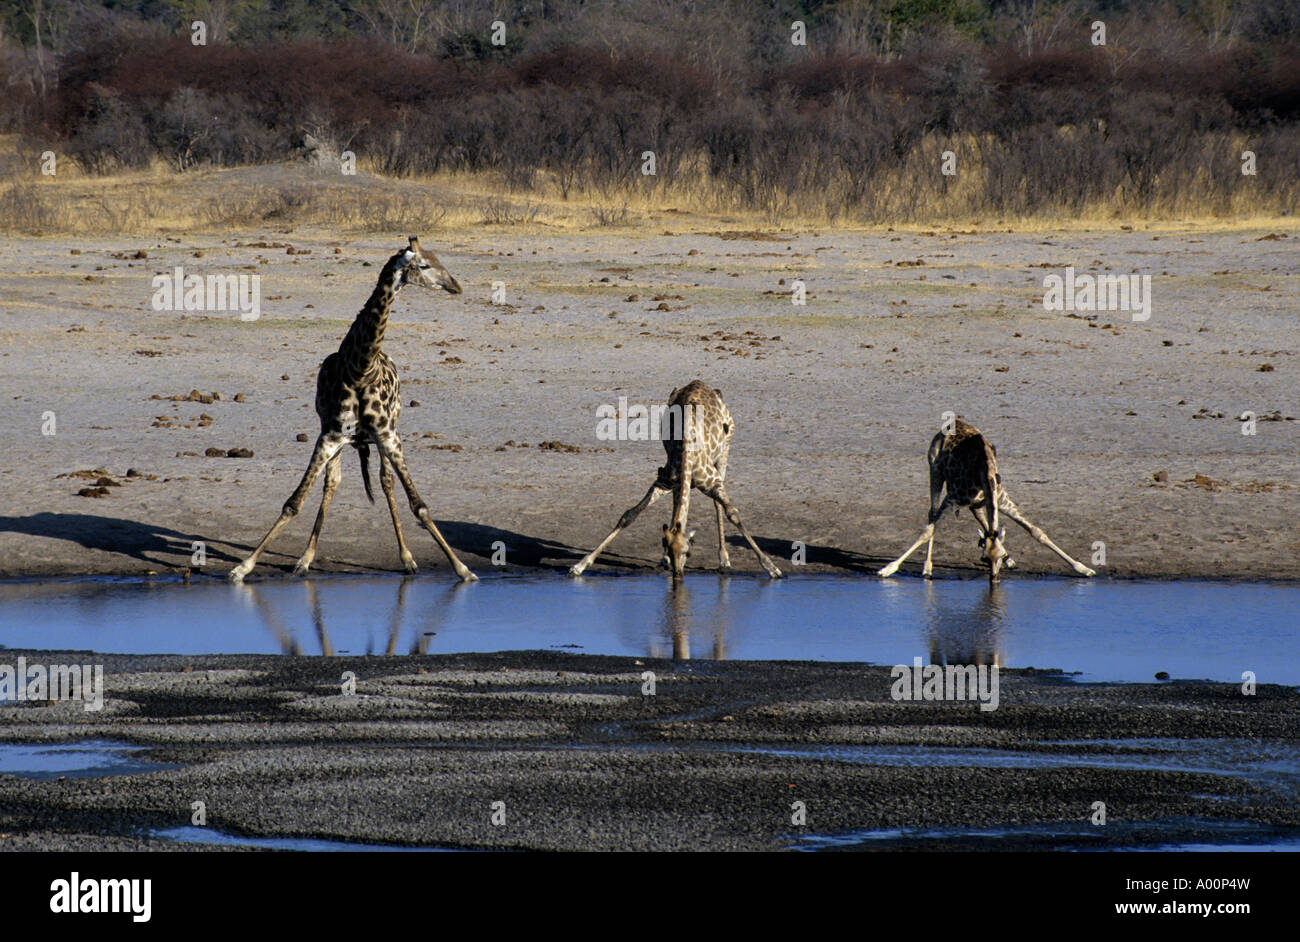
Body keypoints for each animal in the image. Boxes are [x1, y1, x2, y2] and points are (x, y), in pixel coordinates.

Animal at [228, 236, 477, 584]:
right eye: (425, 265)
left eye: (440, 259)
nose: (456, 286)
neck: (360, 368)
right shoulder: (329, 436)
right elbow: (294, 503)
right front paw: (244, 566)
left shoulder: (388, 436)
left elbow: (420, 505)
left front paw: (463, 568)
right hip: (339, 440)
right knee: (332, 482)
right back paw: (305, 559)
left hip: (386, 434)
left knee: (386, 481)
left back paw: (407, 558)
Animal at [569, 380, 783, 580]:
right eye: (671, 550)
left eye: (688, 553)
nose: (678, 575)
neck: (687, 452)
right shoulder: (665, 481)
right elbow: (629, 514)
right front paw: (581, 565)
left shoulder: (713, 482)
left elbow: (733, 513)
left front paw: (772, 567)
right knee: (677, 506)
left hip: (724, 451)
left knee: (717, 504)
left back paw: (724, 559)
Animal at [878, 418, 1096, 582]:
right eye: (984, 559)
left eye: (995, 557)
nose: (994, 579)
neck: (985, 472)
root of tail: (953, 421)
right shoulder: (953, 498)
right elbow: (928, 531)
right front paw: (889, 568)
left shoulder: (1001, 499)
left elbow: (1036, 531)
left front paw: (1083, 568)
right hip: (935, 470)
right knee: (932, 513)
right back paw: (927, 567)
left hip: (975, 502)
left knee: (983, 520)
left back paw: (1010, 559)